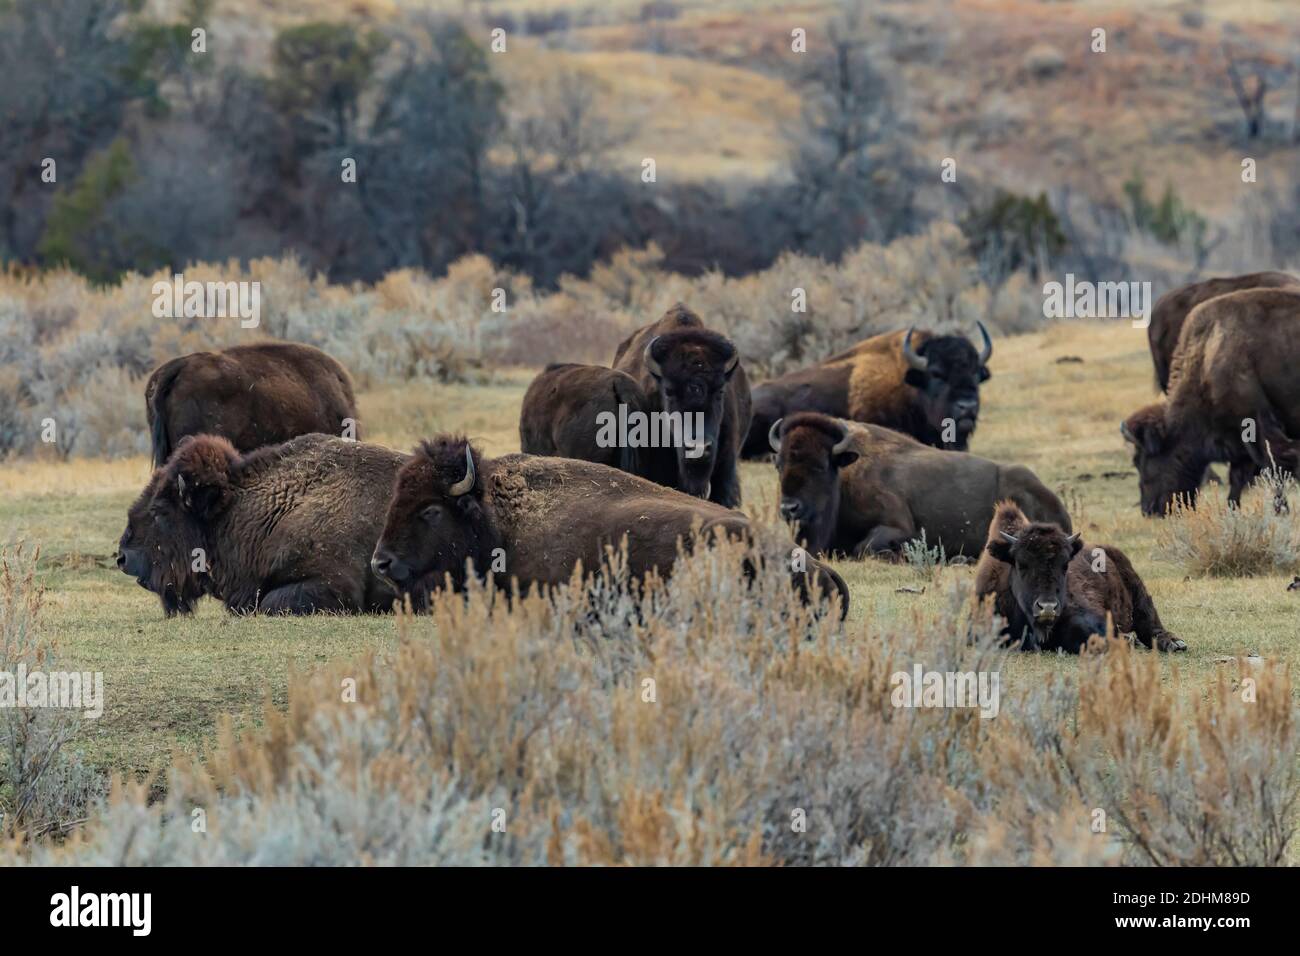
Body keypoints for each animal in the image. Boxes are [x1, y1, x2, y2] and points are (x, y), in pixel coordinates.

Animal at [770, 412, 1070, 559]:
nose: (789, 508)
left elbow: (864, 547)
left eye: (820, 466)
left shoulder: (899, 526)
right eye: (779, 464)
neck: (844, 476)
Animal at [975, 502, 1186, 653]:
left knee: (1150, 625)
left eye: (1065, 565)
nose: (1047, 608)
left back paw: (1175, 643)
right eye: (1021, 564)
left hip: (1139, 594)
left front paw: (1125, 640)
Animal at [1123, 287, 1300, 515]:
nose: (1149, 509)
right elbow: (1239, 478)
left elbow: (1273, 468)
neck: (1208, 354)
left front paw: (1281, 511)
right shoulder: (1239, 441)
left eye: (1140, 459)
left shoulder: (1258, 427)